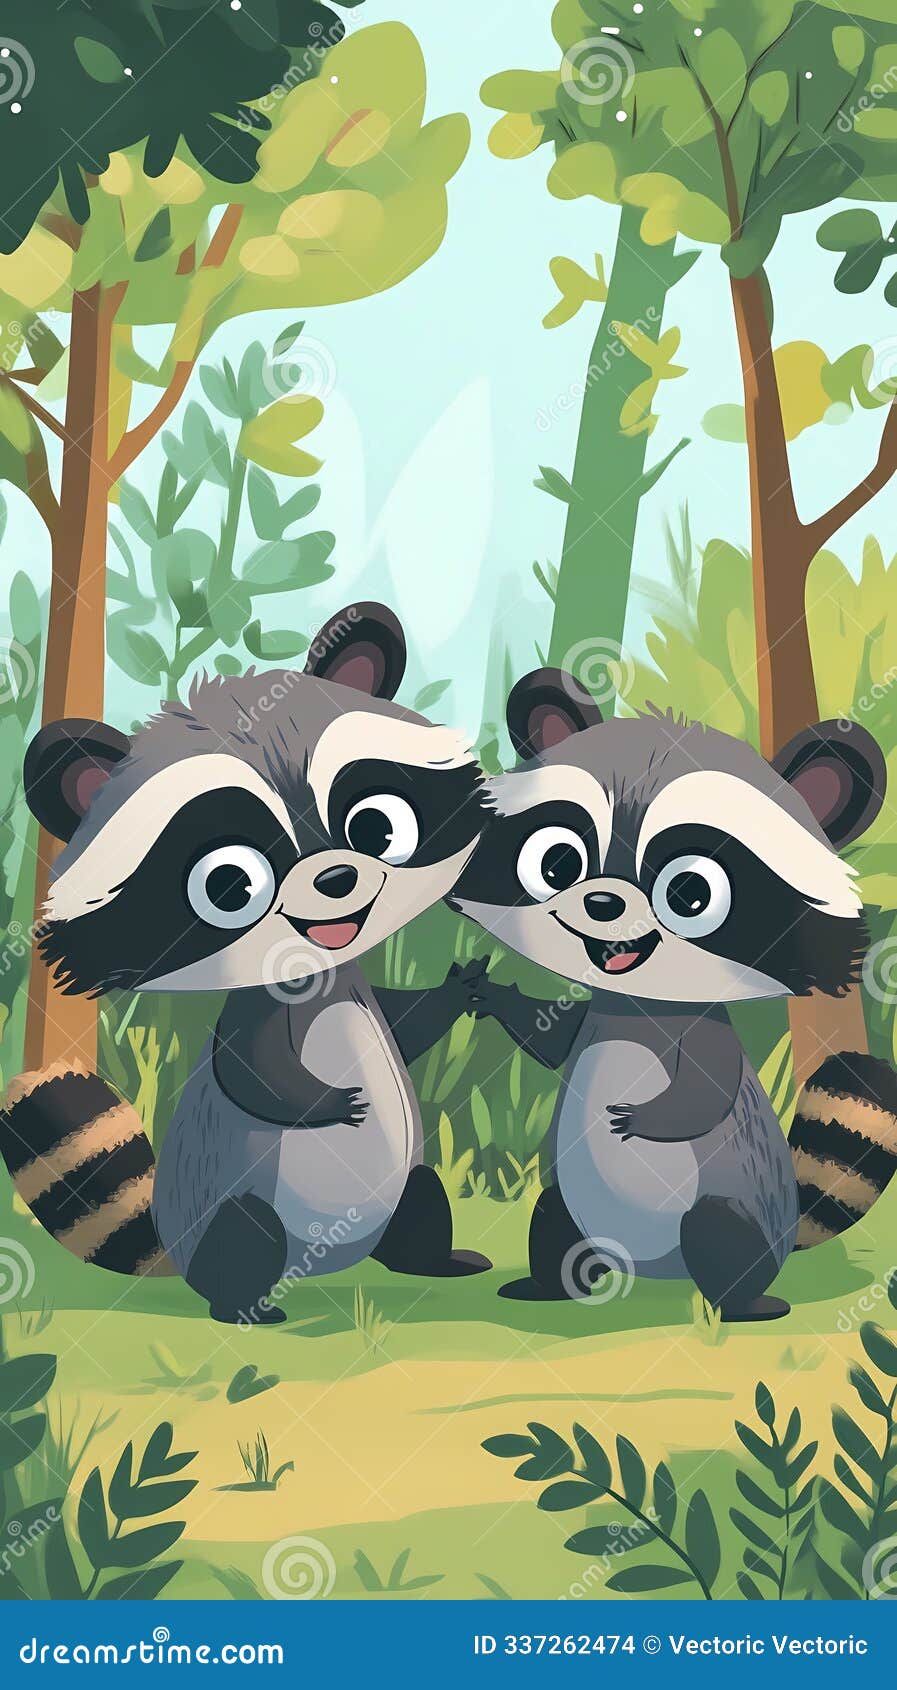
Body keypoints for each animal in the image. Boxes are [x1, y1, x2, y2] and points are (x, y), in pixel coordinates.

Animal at [1, 604, 491, 1321]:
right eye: (230, 883)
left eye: (376, 827)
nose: (338, 878)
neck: (319, 973)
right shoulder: (258, 1012)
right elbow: (249, 1072)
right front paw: (326, 1101)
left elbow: (406, 1028)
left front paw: (458, 989)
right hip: (237, 1217)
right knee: (246, 1239)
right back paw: (246, 1307)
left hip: (405, 1184)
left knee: (422, 1196)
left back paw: (433, 1258)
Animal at [453, 668, 897, 1320]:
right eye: (558, 862)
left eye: (690, 892)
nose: (602, 903)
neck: (638, 1003)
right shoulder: (594, 1017)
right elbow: (553, 1039)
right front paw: (492, 994)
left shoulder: (703, 1032)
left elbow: (704, 1094)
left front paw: (646, 1116)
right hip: (575, 1209)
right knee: (553, 1221)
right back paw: (549, 1283)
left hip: (727, 1211)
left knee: (722, 1240)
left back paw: (744, 1304)